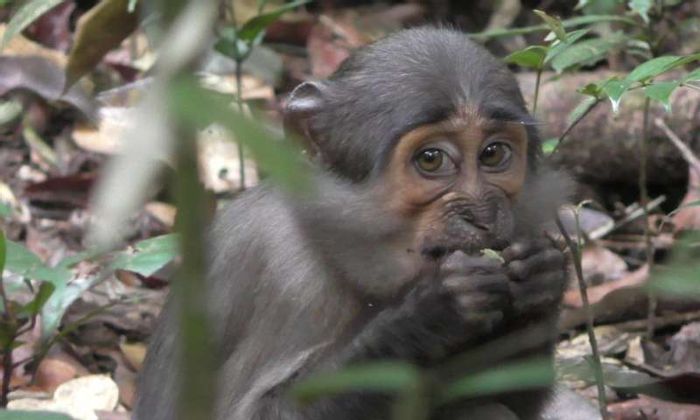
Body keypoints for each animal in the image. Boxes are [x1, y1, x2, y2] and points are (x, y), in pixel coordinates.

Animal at [135, 27, 592, 419]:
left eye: (494, 153)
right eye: (431, 159)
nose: (481, 214)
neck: (330, 242)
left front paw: (541, 277)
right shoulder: (283, 274)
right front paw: (428, 312)